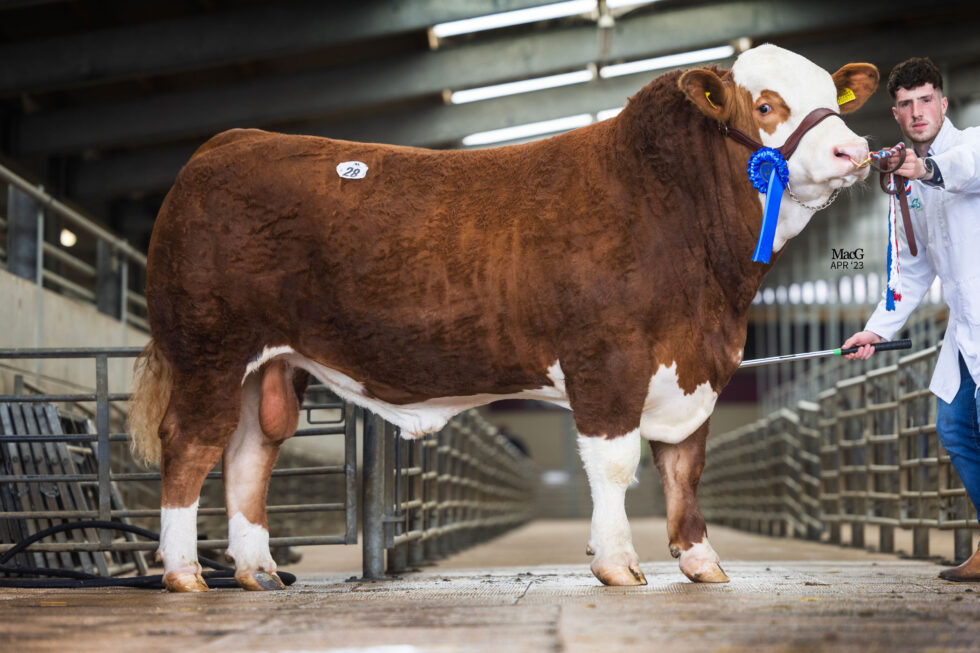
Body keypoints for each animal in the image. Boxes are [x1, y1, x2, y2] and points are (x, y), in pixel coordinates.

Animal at [128, 44, 878, 592]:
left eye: (828, 93)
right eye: (767, 104)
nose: (856, 150)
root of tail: (225, 145)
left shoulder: (696, 367)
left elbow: (684, 466)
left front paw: (701, 561)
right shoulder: (607, 360)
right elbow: (616, 466)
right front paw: (617, 563)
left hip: (272, 366)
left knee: (250, 453)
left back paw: (256, 571)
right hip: (208, 349)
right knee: (189, 445)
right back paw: (184, 573)